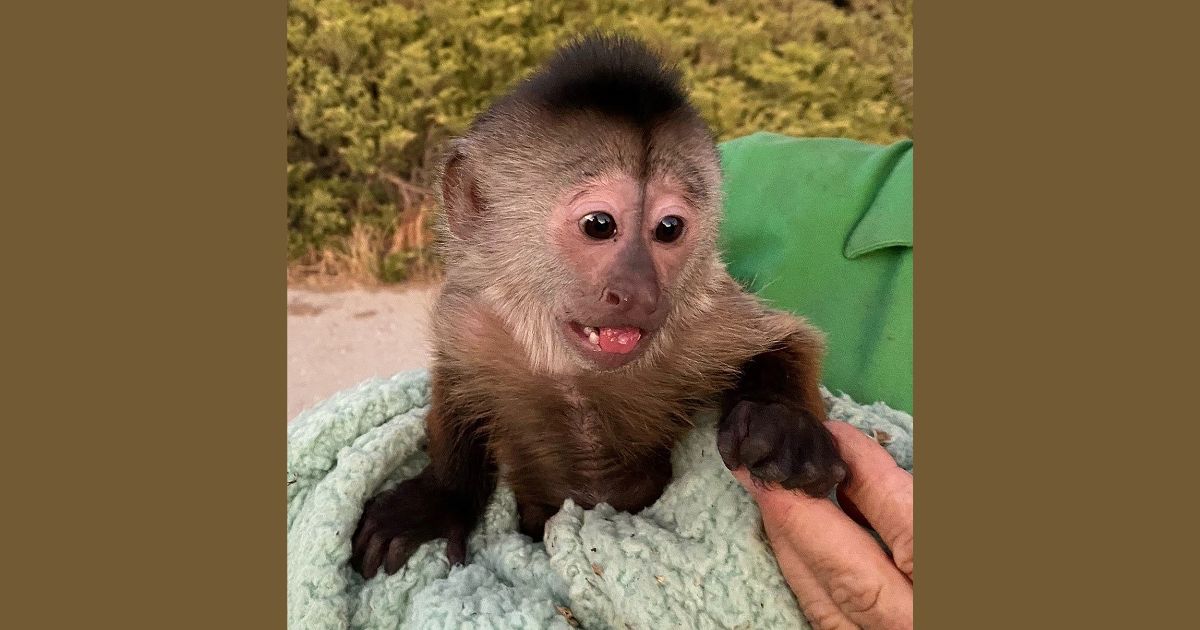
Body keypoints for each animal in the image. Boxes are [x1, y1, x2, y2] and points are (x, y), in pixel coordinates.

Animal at [351, 34, 847, 579]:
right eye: (599, 225)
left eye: (668, 229)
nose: (639, 292)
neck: (575, 372)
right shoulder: (473, 321)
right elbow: (458, 386)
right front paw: (438, 498)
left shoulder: (702, 317)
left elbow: (785, 340)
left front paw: (782, 423)